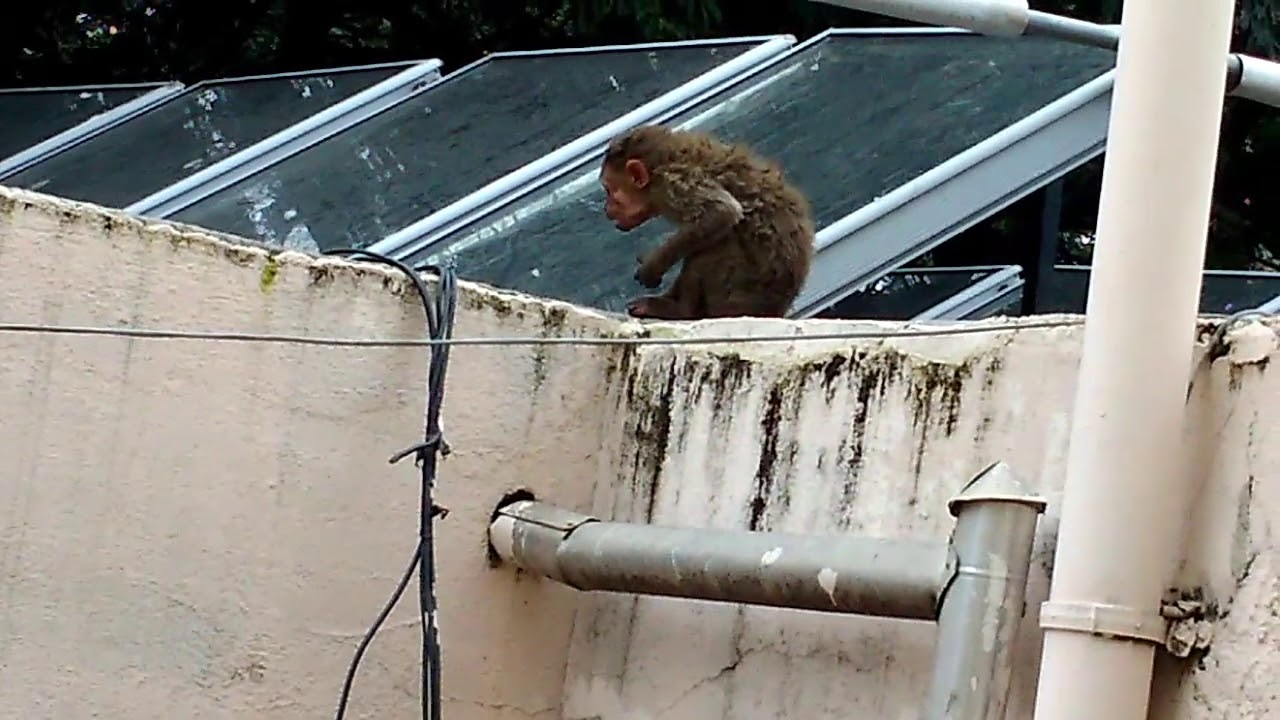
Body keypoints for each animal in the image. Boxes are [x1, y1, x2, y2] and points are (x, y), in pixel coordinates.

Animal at [598, 124, 816, 321]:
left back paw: (680, 309)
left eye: (610, 191)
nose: (607, 210)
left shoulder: (674, 180)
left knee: (715, 247)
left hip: (740, 291)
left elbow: (721, 213)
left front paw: (652, 266)